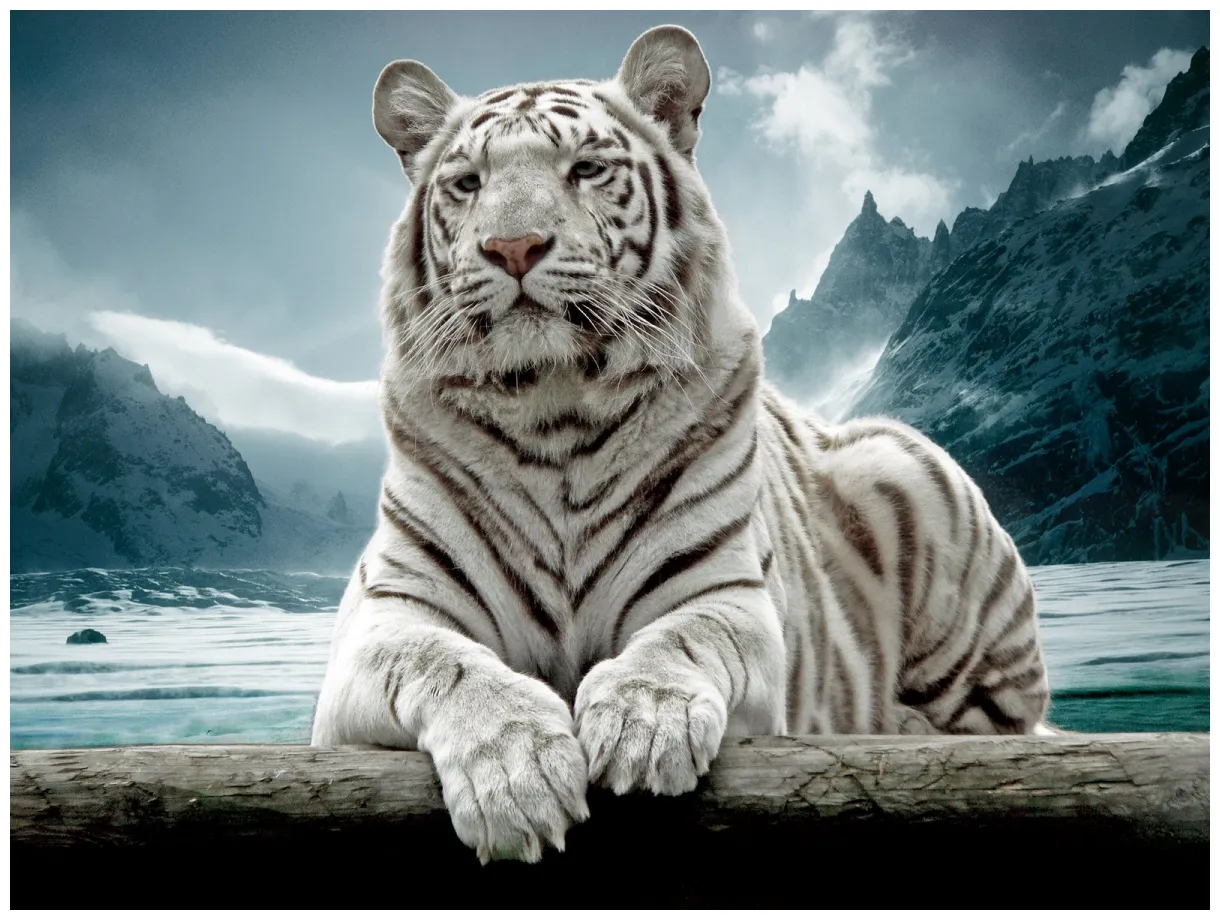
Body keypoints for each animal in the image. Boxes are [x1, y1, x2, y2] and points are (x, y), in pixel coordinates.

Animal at [310, 25, 1052, 864]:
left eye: (586, 169)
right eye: (468, 183)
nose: (514, 246)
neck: (551, 408)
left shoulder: (722, 593)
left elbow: (682, 641)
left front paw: (641, 727)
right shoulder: (388, 618)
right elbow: (449, 665)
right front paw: (515, 773)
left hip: (904, 472)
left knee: (998, 722)